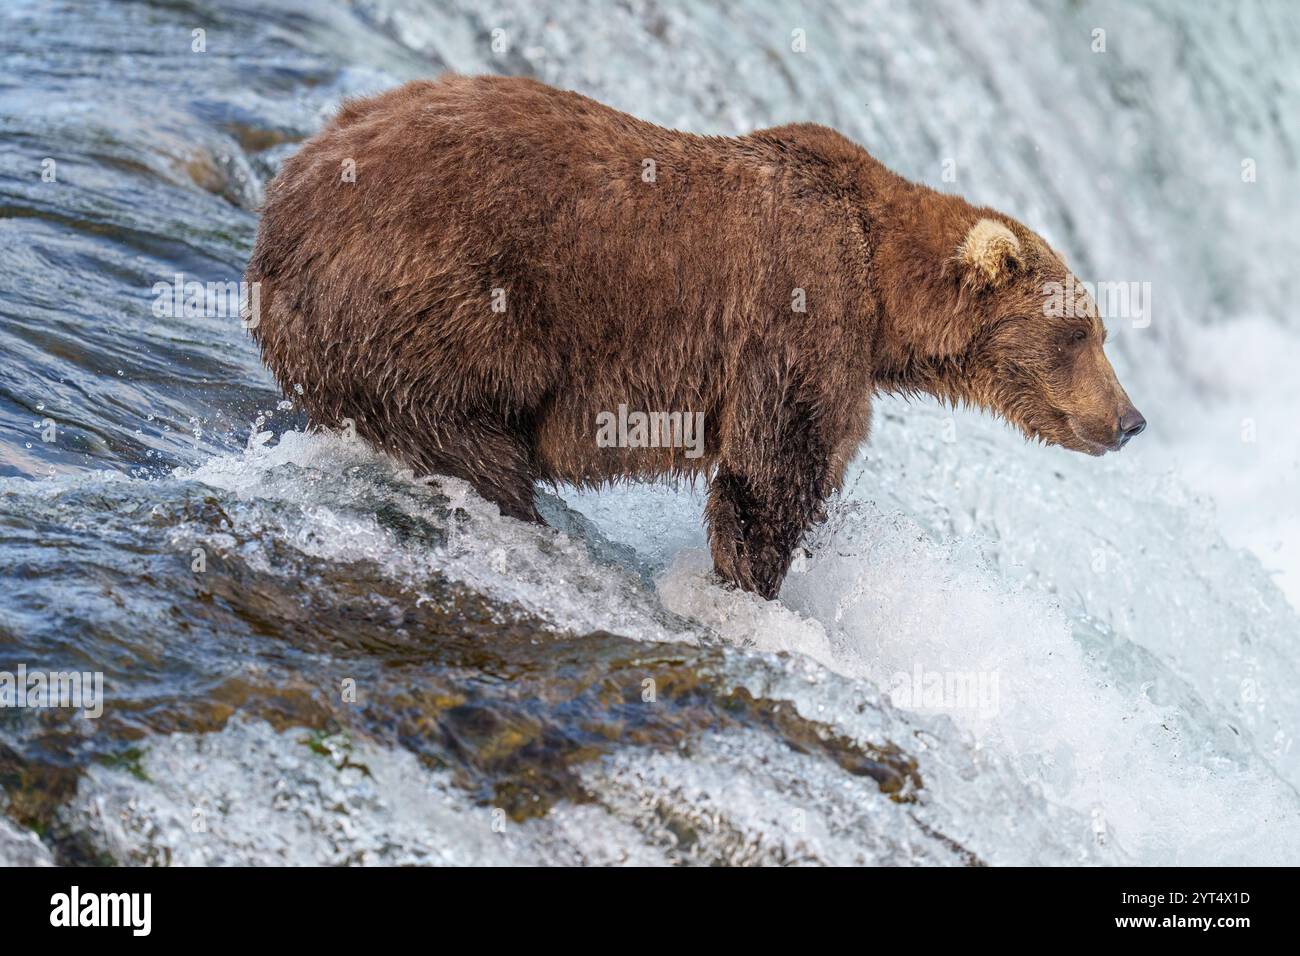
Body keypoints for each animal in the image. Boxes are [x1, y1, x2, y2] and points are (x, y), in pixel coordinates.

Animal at [244, 73, 1145, 600]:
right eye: (1080, 331)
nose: (1130, 420)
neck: (883, 287)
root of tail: (281, 208)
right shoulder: (799, 315)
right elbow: (778, 467)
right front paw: (755, 585)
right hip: (438, 300)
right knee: (466, 435)